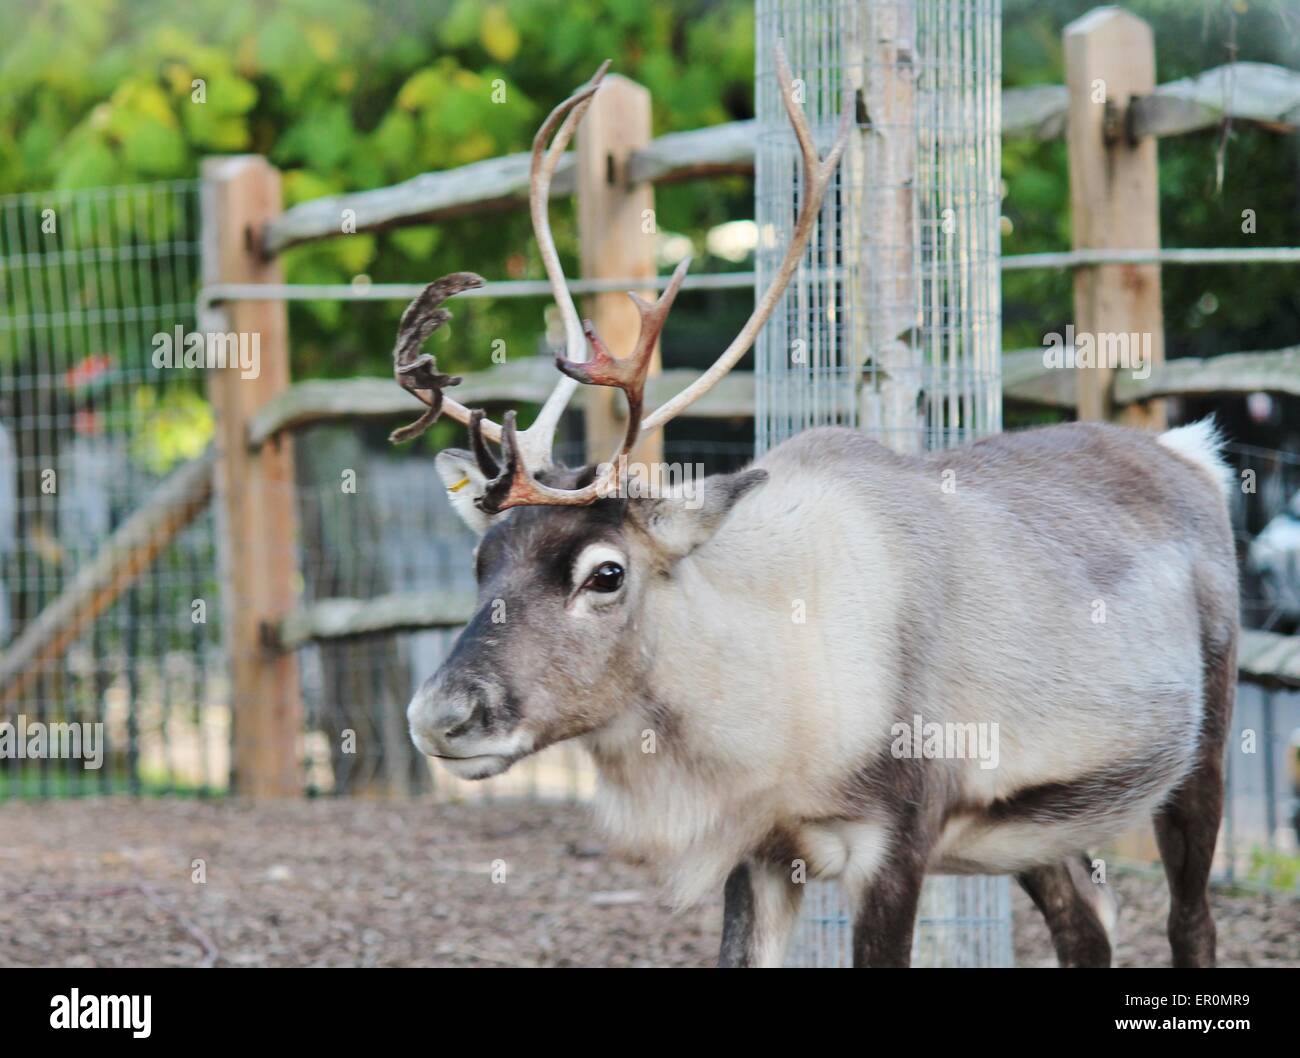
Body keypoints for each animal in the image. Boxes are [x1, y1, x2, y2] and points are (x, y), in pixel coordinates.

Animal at [395, 45, 1238, 968]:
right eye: (482, 560)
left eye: (605, 574)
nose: (440, 716)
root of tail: (1195, 454)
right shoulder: (762, 851)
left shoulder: (897, 841)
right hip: (1035, 831)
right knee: (1088, 927)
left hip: (1200, 754)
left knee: (1190, 920)